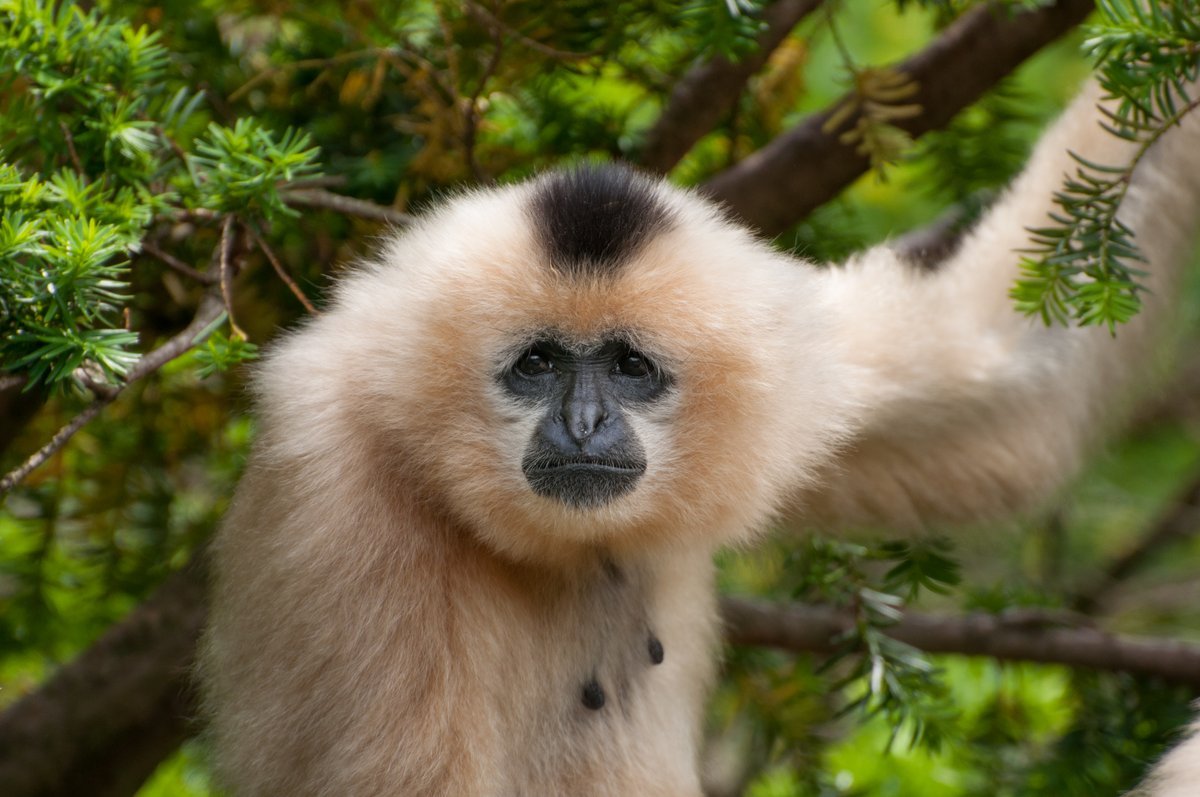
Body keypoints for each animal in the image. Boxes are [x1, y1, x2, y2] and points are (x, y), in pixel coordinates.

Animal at [200, 78, 1200, 796]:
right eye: (538, 363)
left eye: (630, 366)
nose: (584, 421)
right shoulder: (343, 500)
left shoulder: (795, 361)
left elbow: (1013, 391)